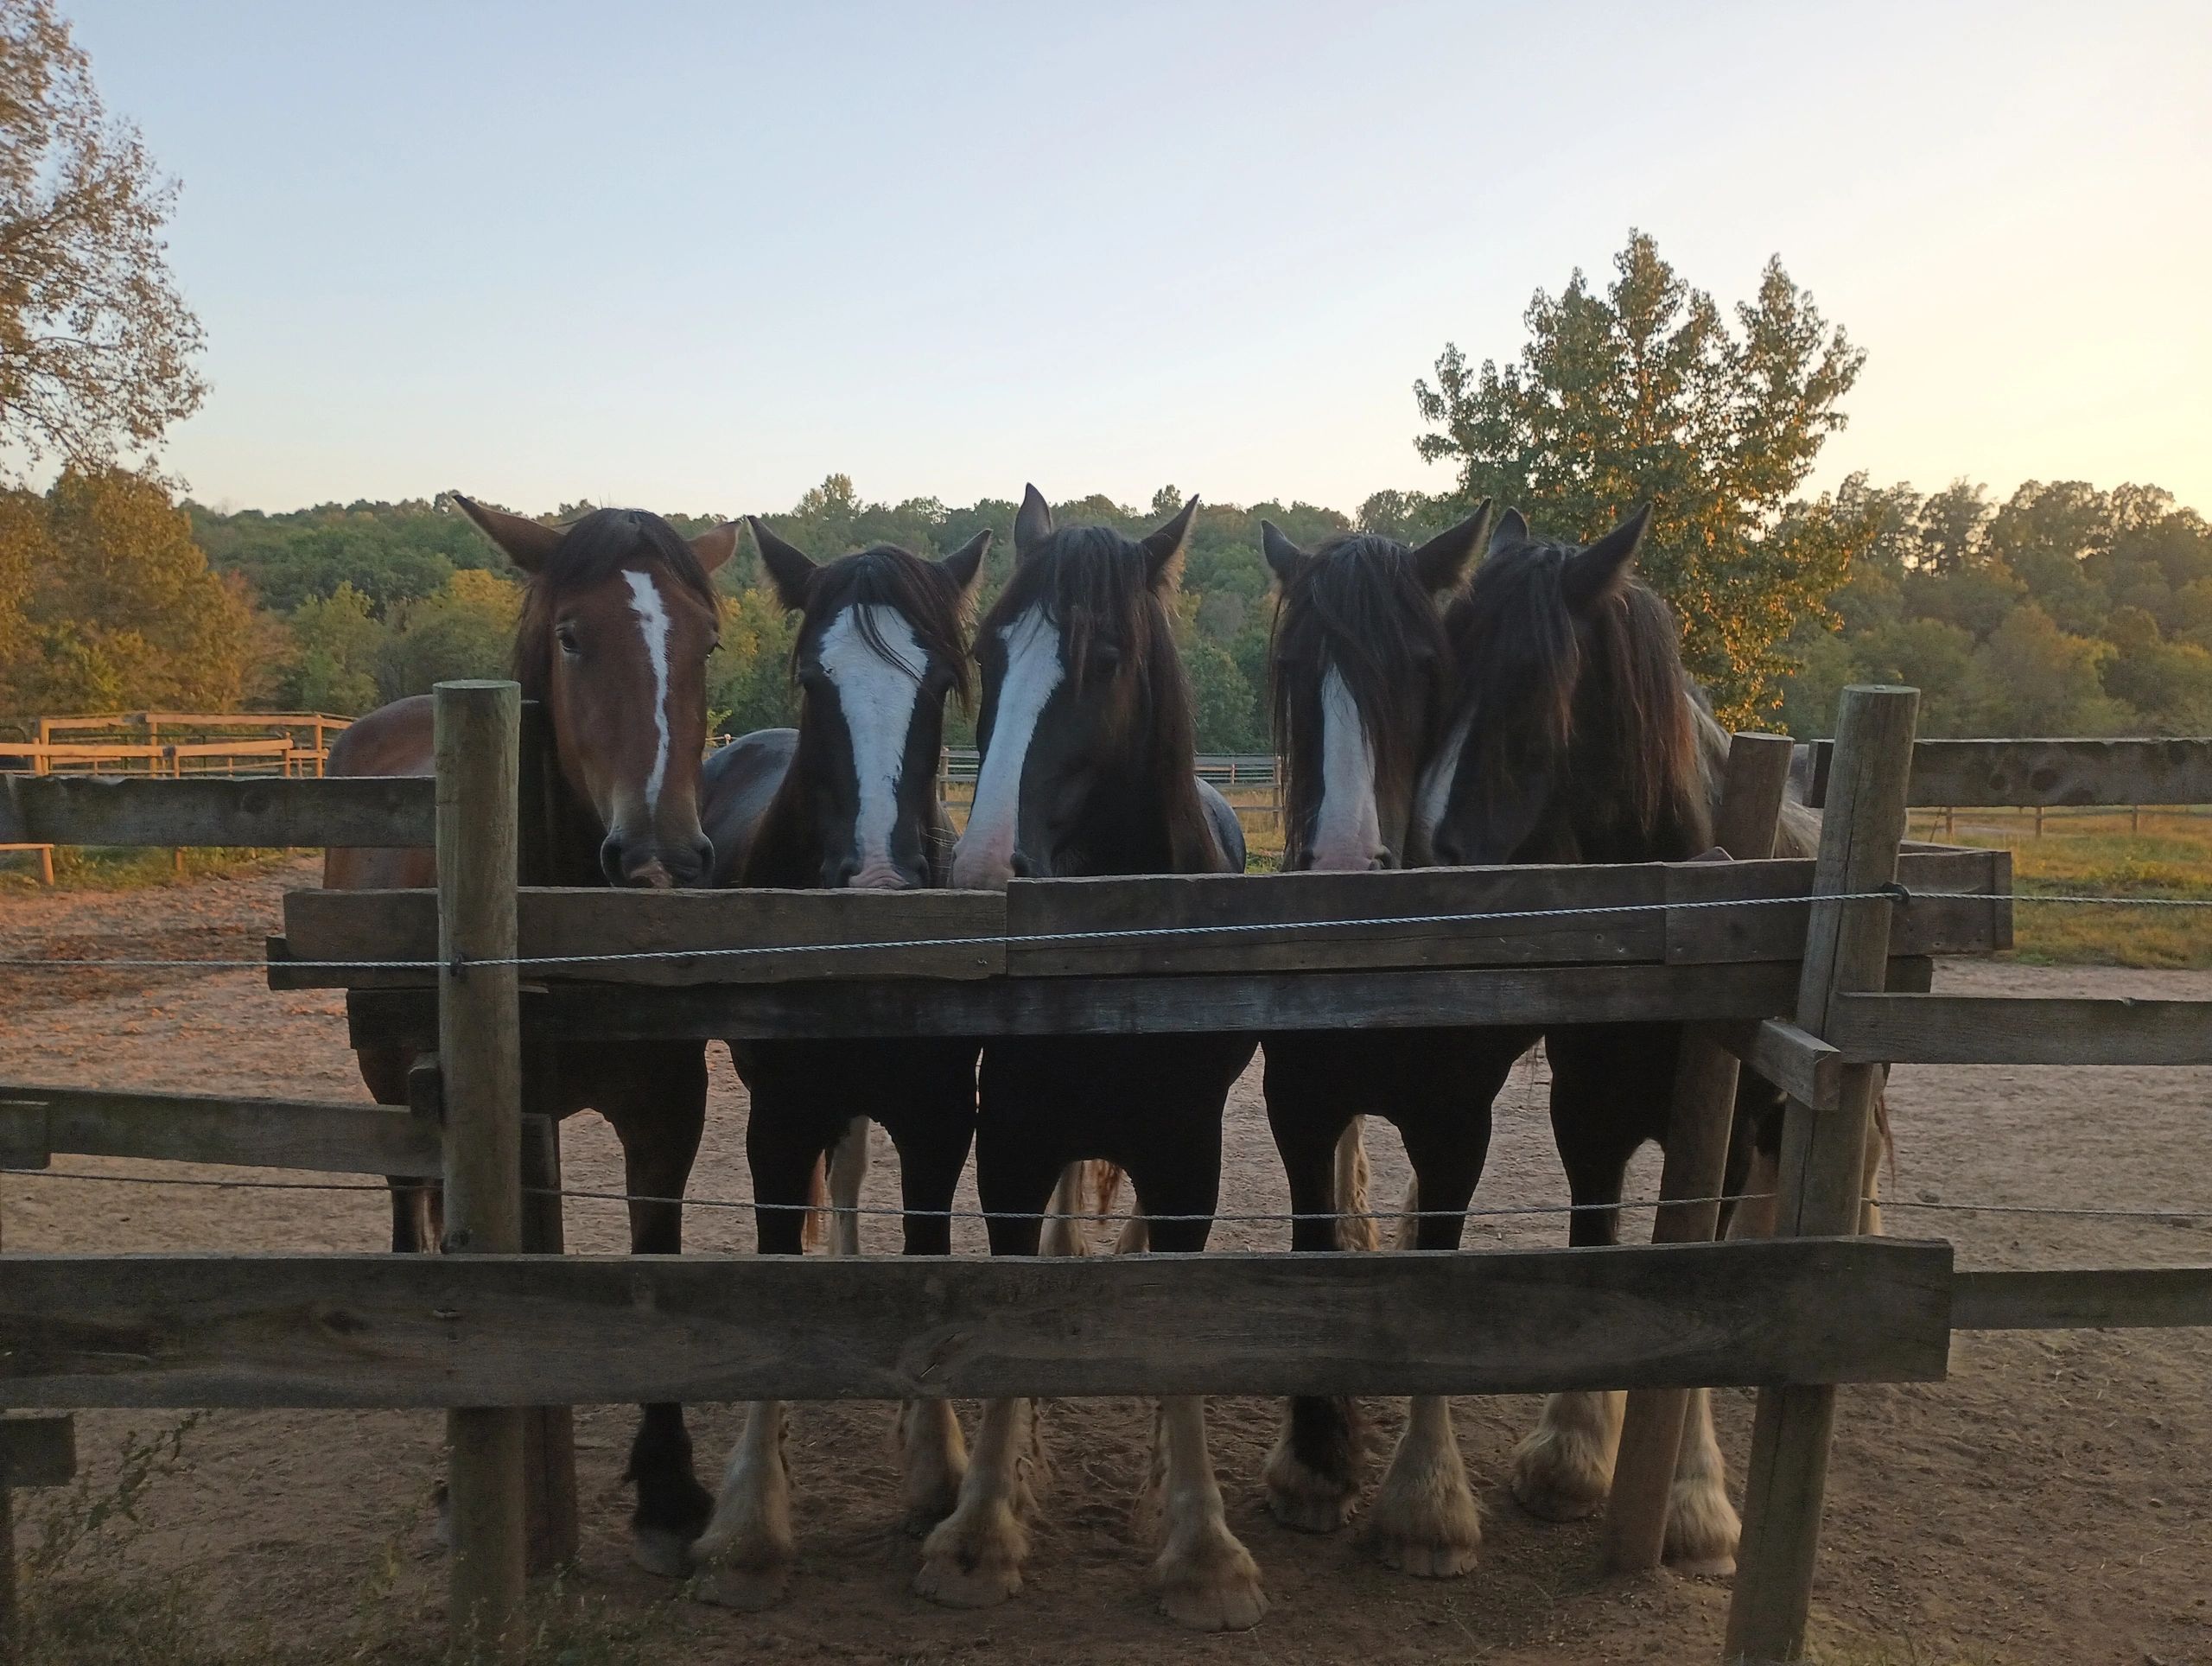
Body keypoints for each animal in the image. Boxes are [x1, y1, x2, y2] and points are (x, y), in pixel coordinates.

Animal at [323, 495, 734, 1574]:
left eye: (708, 641)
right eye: (572, 636)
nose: (661, 856)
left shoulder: (666, 1107)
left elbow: (656, 1259)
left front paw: (666, 1489)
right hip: (386, 1072)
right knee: (407, 1194)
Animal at [683, 520, 990, 1609]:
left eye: (938, 680)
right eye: (814, 681)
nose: (880, 882)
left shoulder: (941, 1117)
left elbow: (928, 1255)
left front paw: (936, 1464)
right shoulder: (776, 1123)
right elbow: (778, 1268)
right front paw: (747, 1523)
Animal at [926, 486, 1266, 1631]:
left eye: (1106, 657)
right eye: (990, 649)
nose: (985, 870)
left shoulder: (1187, 1151)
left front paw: (1201, 1549)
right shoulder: (1013, 1135)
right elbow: (1010, 1304)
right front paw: (984, 1526)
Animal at [1254, 505, 1543, 1577]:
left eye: (1423, 665)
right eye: (1290, 666)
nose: (1342, 866)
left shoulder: (1457, 1123)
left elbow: (1437, 1278)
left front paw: (1426, 1506)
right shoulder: (1298, 1103)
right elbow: (1312, 1234)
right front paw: (1313, 1457)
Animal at [1411, 503, 1851, 1576]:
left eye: (1533, 692)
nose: (1425, 859)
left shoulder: (1723, 1131)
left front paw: (1691, 1497)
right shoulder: (1591, 1113)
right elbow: (1597, 1241)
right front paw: (1574, 1455)